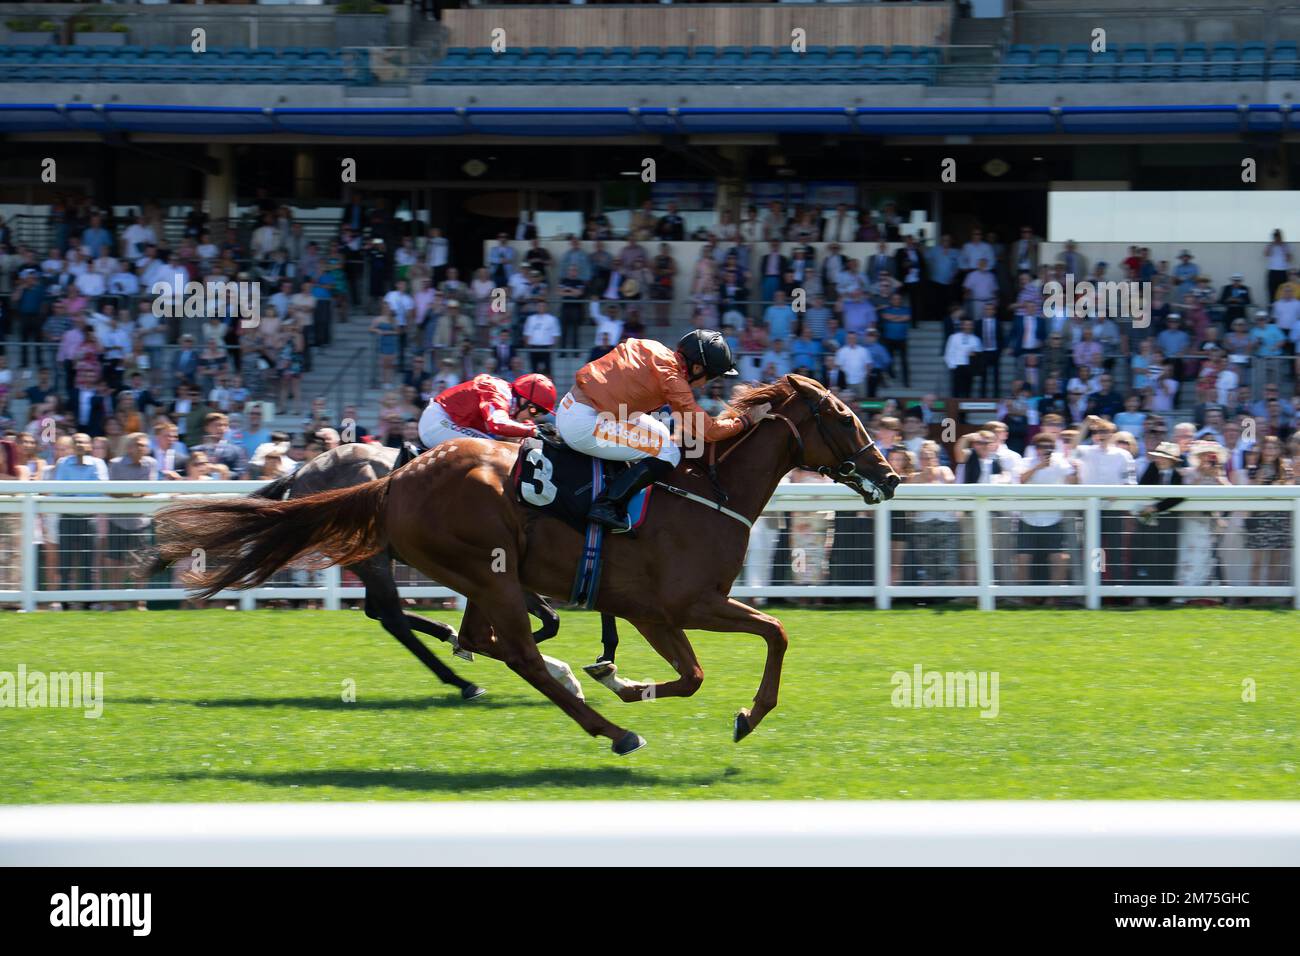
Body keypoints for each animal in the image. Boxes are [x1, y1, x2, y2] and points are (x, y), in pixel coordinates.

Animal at [150, 375, 899, 754]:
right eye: (843, 416)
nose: (889, 475)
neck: (704, 488)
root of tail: (394, 480)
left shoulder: (651, 605)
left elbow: (756, 640)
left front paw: (619, 674)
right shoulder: (676, 607)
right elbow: (736, 652)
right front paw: (681, 699)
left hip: (477, 574)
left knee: (468, 633)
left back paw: (484, 668)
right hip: (481, 569)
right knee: (497, 646)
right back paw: (606, 727)